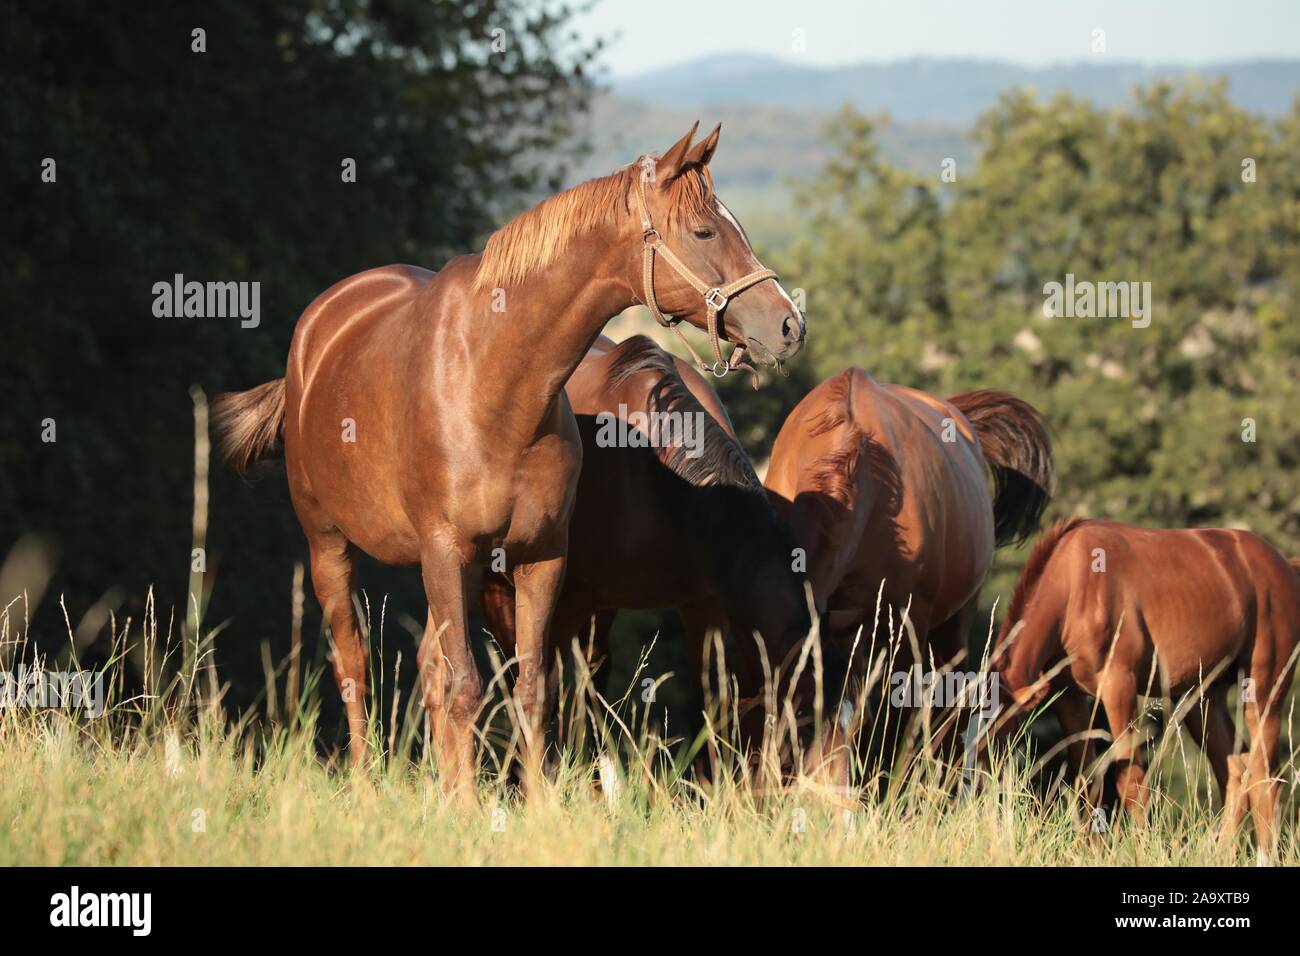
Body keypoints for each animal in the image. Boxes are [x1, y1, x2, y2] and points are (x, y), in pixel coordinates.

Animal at [989, 518, 1300, 855]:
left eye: (995, 737)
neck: (1075, 584)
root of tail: (1285, 565)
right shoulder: (1067, 696)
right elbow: (1087, 778)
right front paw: (1090, 851)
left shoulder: (1119, 687)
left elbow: (1131, 780)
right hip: (1202, 697)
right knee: (1236, 771)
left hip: (1264, 689)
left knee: (1265, 774)